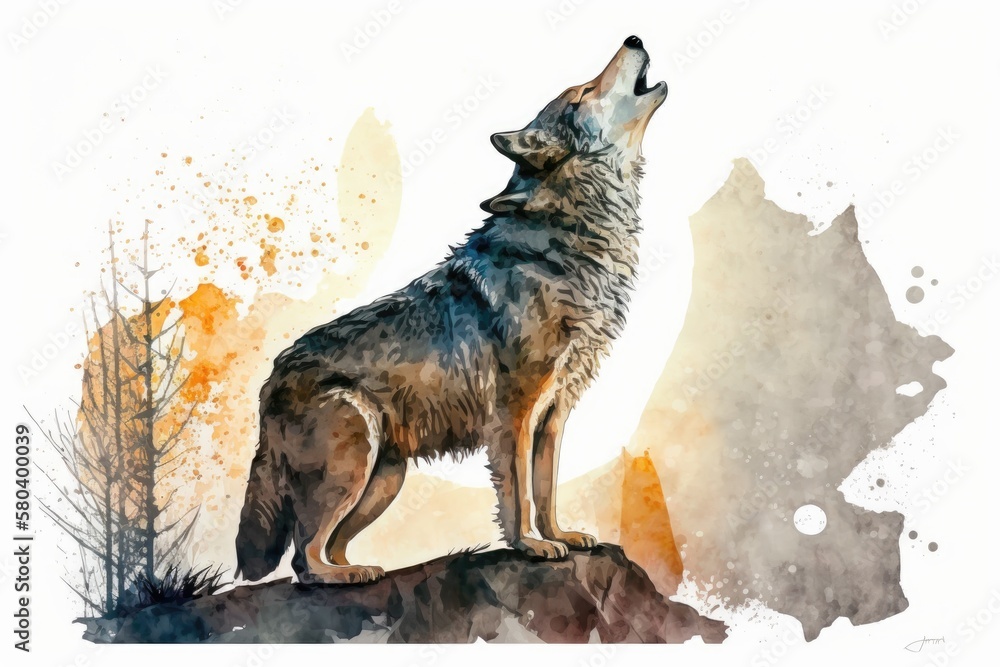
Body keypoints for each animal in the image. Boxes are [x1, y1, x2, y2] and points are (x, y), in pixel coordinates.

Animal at [235, 36, 667, 584]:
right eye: (581, 93)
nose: (634, 38)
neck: (566, 242)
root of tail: (271, 377)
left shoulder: (554, 414)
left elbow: (547, 490)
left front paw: (562, 536)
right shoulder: (514, 414)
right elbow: (520, 495)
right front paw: (530, 545)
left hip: (383, 483)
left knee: (328, 544)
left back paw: (363, 568)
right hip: (352, 468)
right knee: (302, 558)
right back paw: (340, 576)